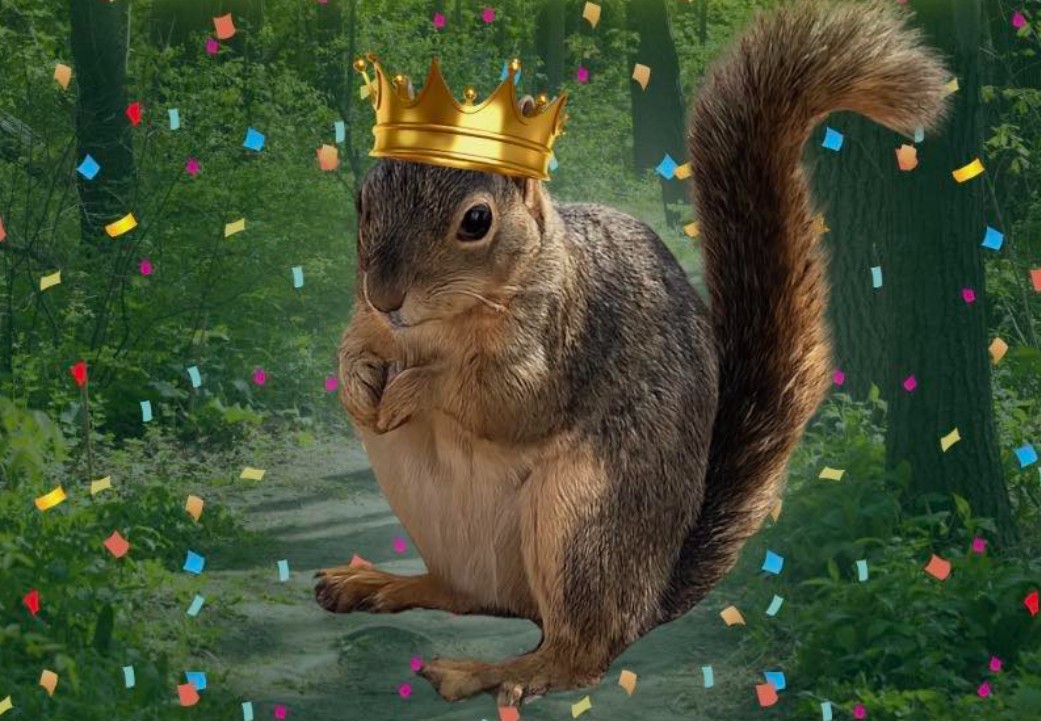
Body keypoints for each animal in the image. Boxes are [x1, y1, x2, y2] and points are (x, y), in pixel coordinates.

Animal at [314, 0, 949, 707]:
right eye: (362, 201)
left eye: (476, 221)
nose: (385, 294)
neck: (434, 329)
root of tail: (652, 591)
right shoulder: (369, 323)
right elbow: (353, 348)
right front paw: (358, 388)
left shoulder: (561, 343)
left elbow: (499, 399)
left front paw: (411, 389)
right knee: (466, 594)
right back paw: (379, 583)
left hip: (584, 524)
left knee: (580, 651)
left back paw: (496, 671)